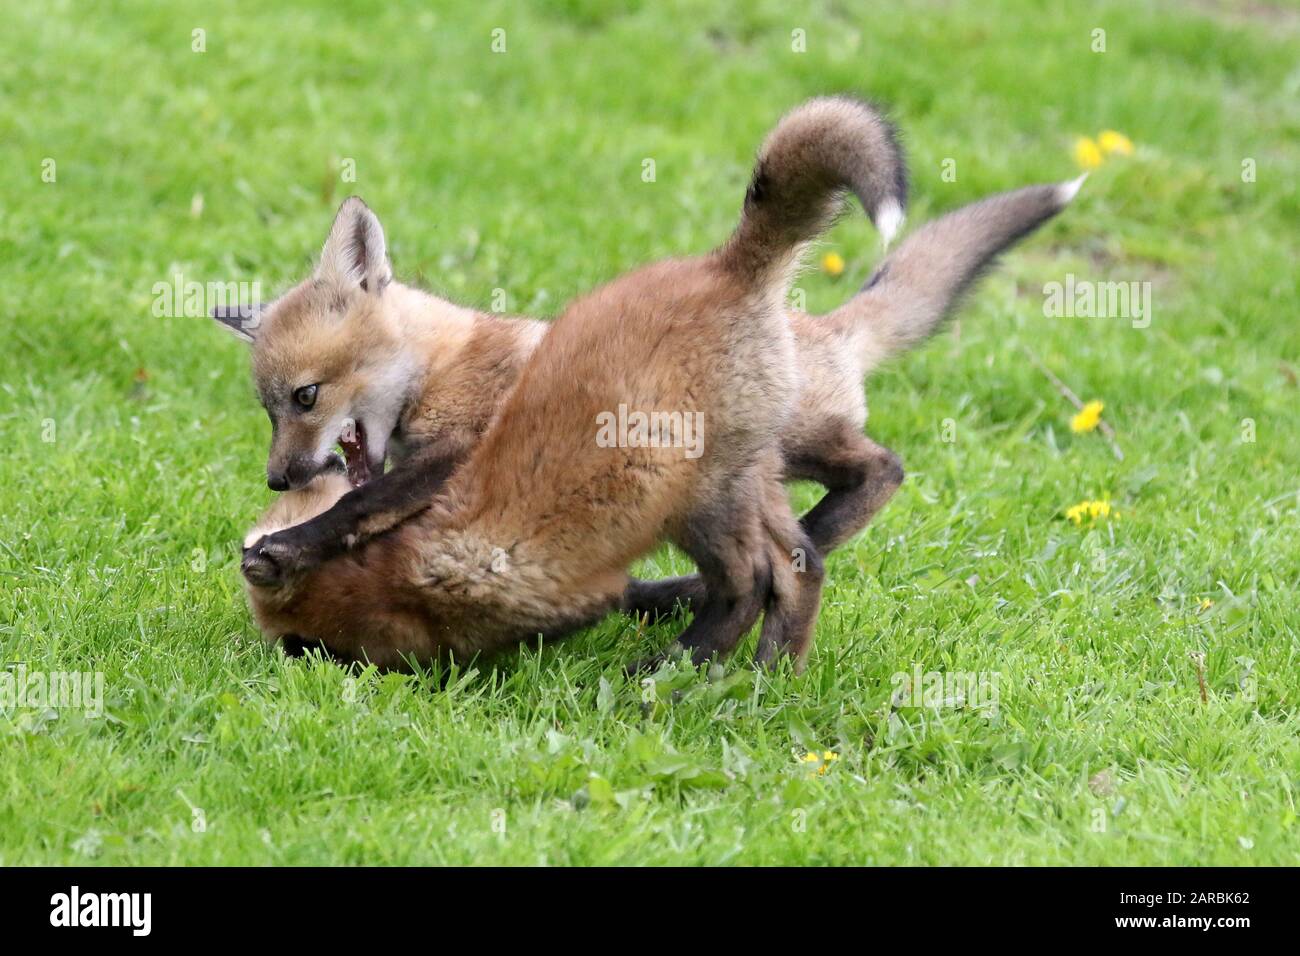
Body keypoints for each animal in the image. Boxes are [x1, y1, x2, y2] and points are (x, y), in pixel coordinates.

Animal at [227, 97, 1083, 670]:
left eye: (304, 397)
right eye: (266, 410)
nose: (278, 477)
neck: (448, 365)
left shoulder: (458, 448)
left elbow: (363, 504)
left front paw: (296, 542)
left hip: (732, 469)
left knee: (868, 482)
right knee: (816, 526)